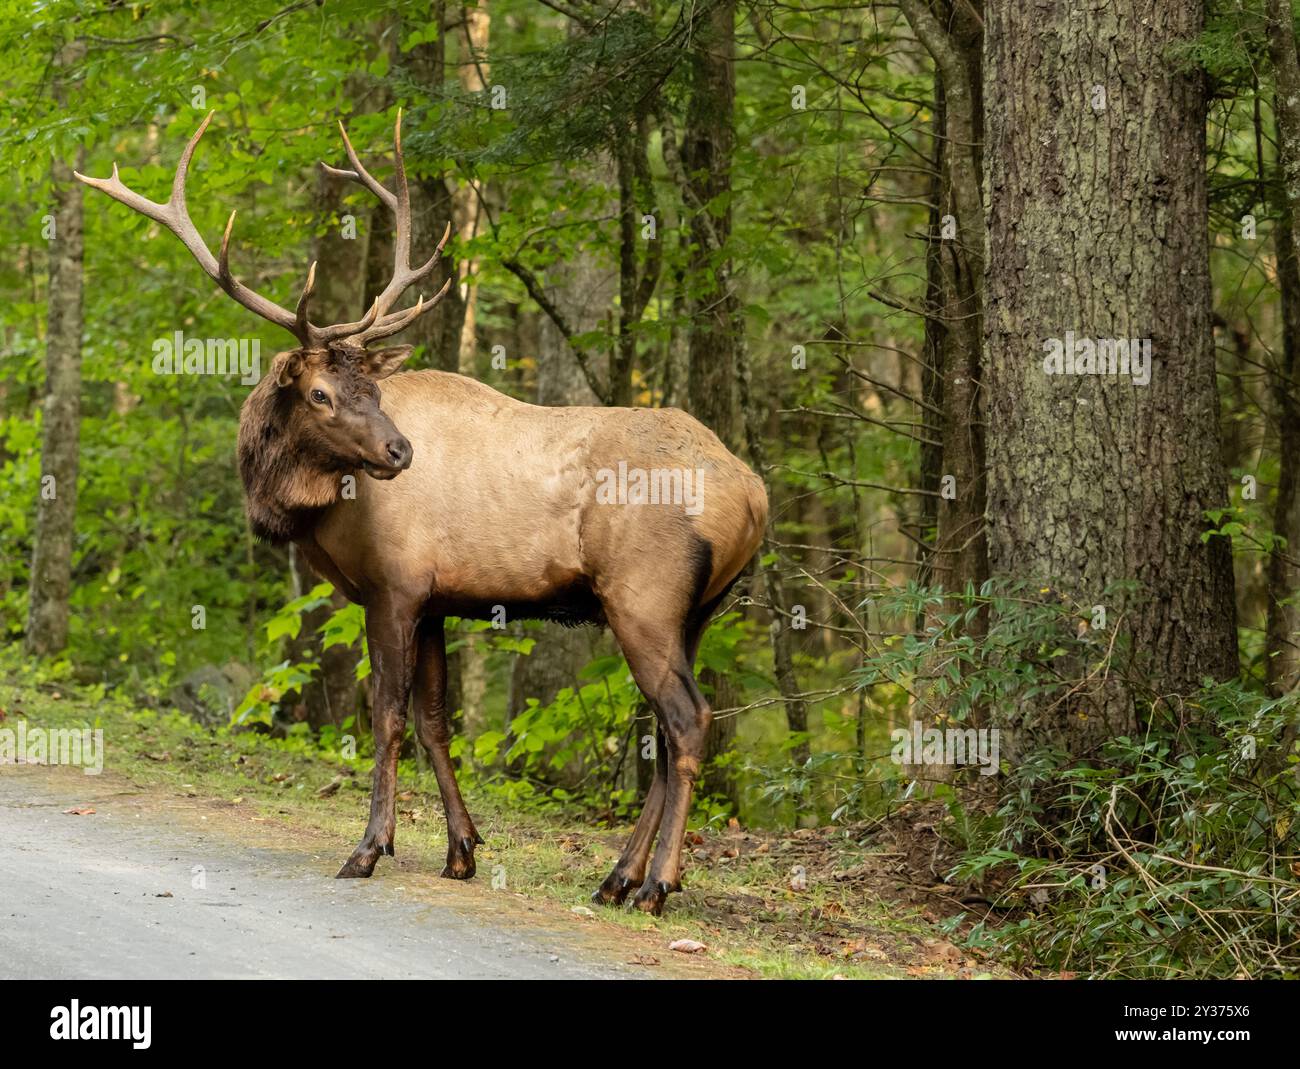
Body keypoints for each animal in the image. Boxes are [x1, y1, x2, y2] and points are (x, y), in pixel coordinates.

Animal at [75, 112, 768, 916]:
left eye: (370, 389)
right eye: (322, 393)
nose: (400, 450)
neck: (309, 512)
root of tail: (755, 493)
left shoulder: (395, 587)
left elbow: (388, 716)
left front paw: (369, 847)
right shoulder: (438, 600)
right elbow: (438, 722)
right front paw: (461, 849)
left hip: (643, 596)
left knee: (686, 721)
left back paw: (657, 883)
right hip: (698, 610)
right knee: (664, 730)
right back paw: (616, 876)